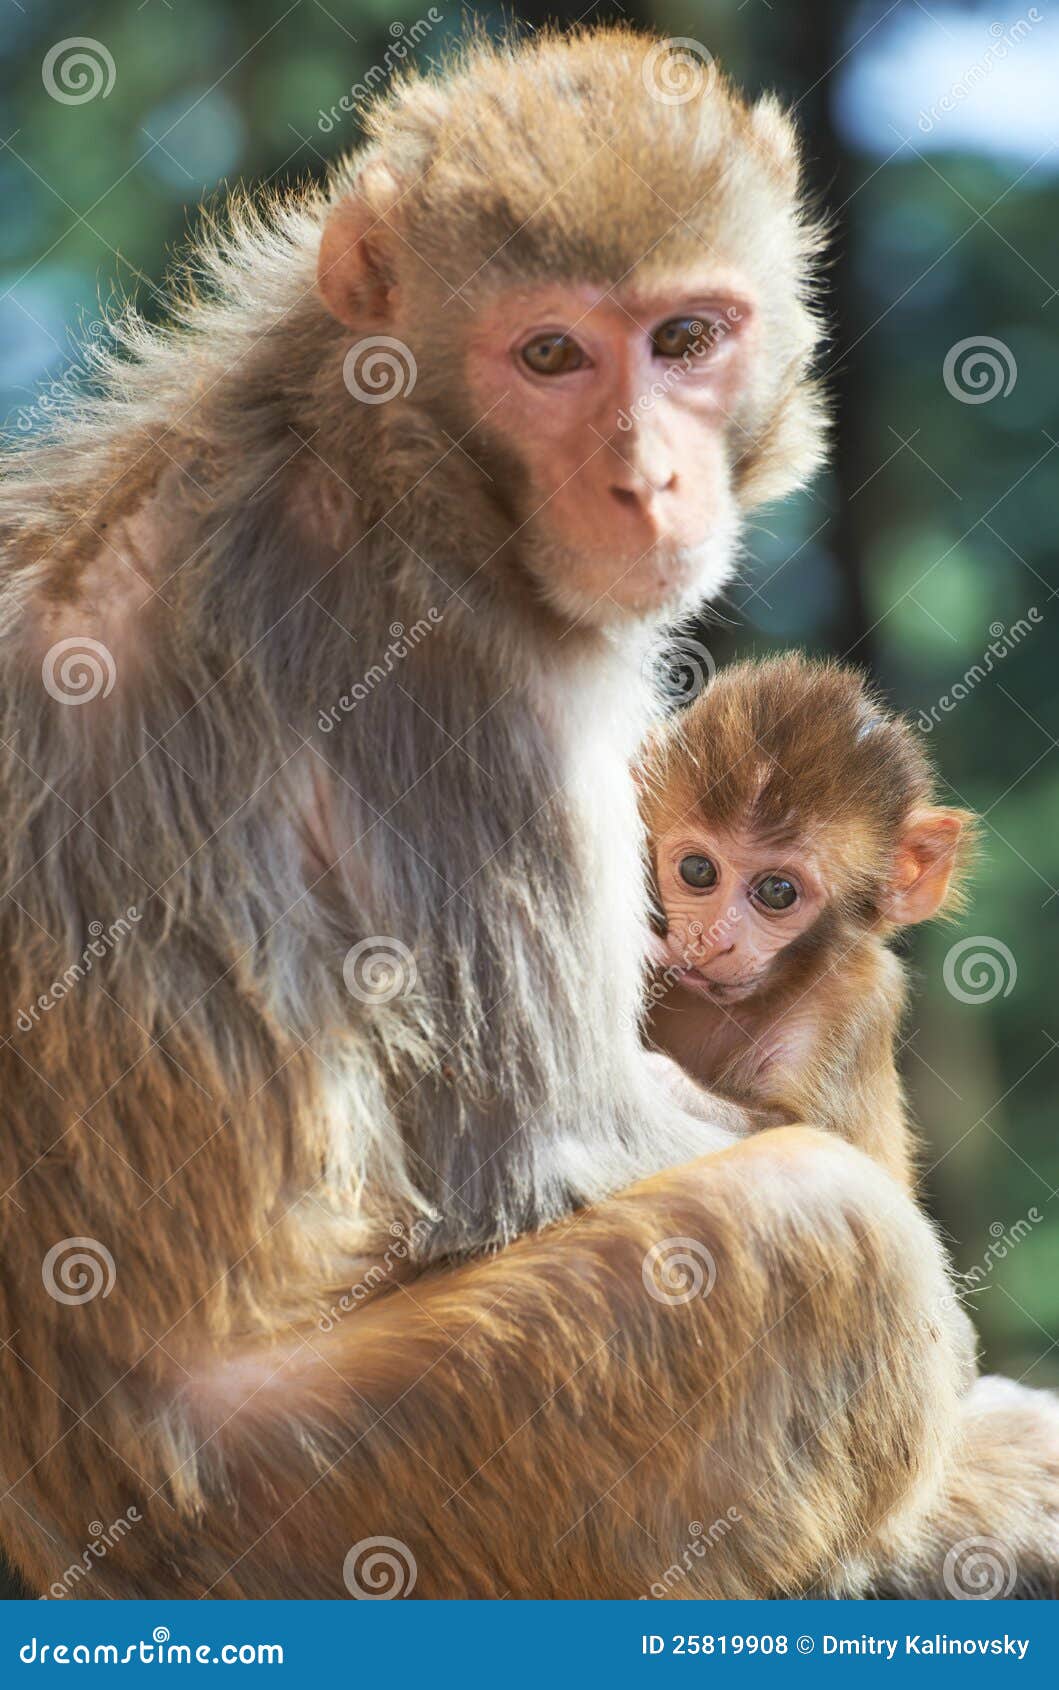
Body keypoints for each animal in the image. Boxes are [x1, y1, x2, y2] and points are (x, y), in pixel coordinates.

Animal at [640, 654, 976, 1187]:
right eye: (698, 870)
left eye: (778, 892)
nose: (710, 938)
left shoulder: (858, 994)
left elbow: (804, 1138)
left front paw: (658, 1078)